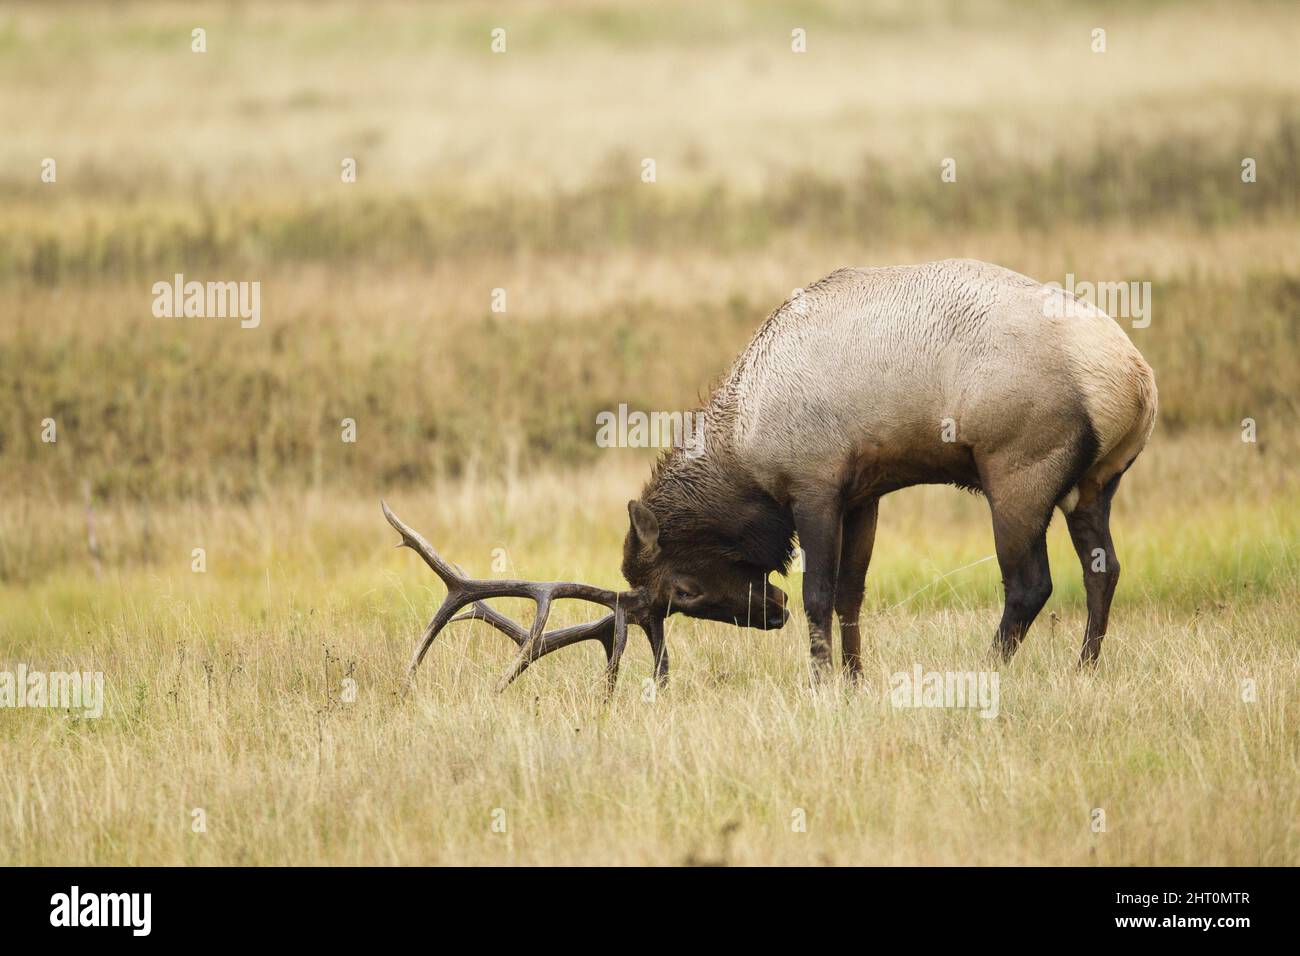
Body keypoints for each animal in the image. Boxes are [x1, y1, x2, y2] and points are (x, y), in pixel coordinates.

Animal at [388, 259, 1157, 693]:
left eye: (683, 591)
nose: (769, 610)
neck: (746, 449)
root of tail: (1136, 382)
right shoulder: (865, 491)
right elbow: (851, 593)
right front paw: (853, 681)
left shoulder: (815, 481)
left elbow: (819, 591)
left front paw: (819, 684)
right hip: (1097, 483)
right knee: (1105, 569)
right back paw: (1085, 669)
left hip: (1017, 468)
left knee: (1030, 585)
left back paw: (987, 671)